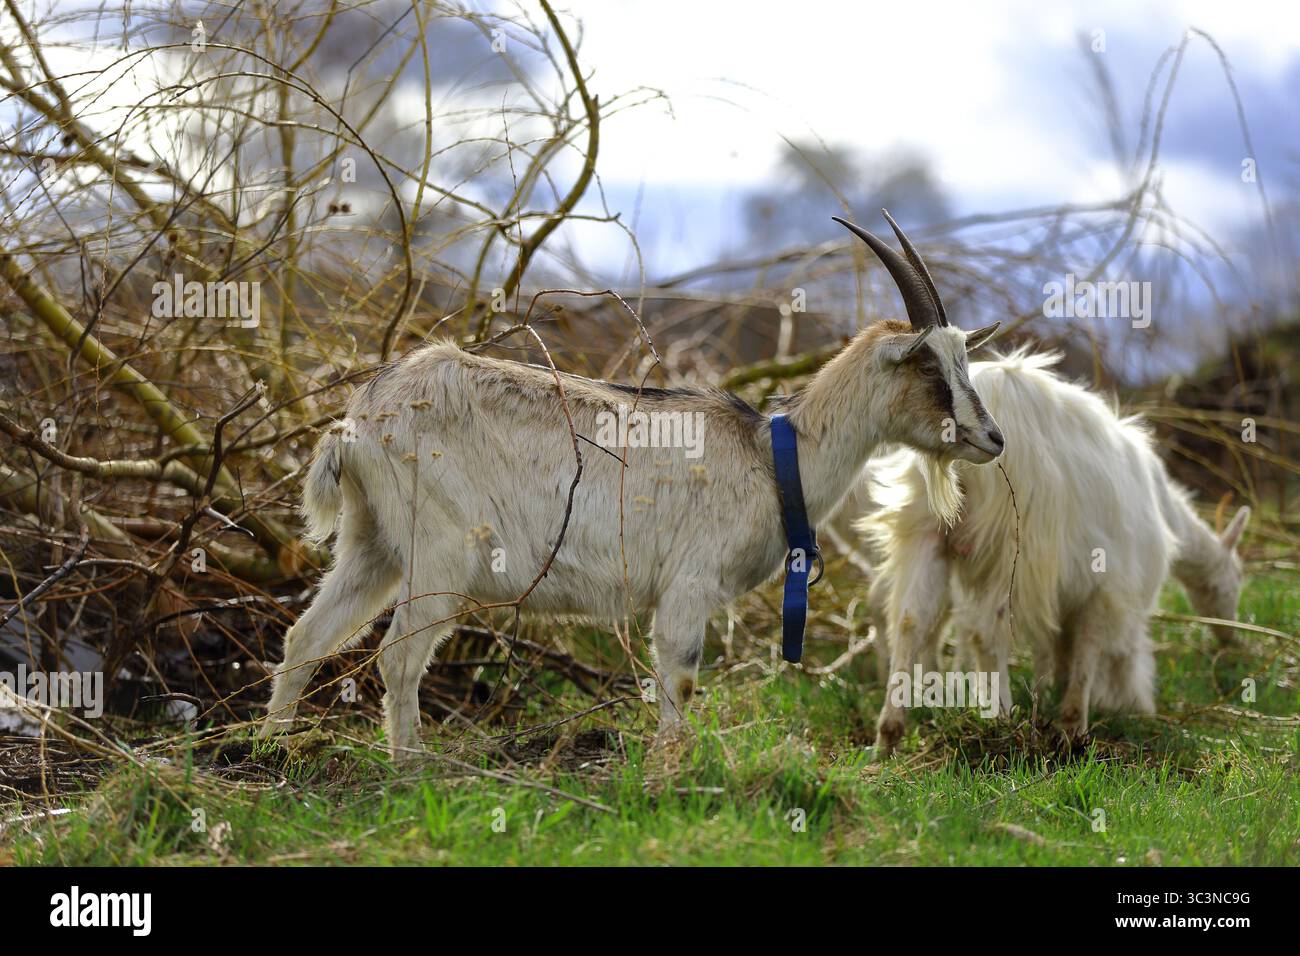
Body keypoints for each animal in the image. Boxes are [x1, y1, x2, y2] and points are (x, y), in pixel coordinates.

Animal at [260, 212, 1005, 759]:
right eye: (931, 369)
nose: (992, 439)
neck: (771, 458)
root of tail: (357, 421)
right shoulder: (688, 586)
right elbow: (679, 681)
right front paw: (672, 774)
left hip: (372, 543)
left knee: (306, 636)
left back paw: (272, 751)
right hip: (441, 552)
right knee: (398, 656)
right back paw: (412, 769)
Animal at [858, 349, 1249, 756]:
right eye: (1236, 579)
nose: (1231, 639)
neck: (1165, 509)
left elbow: (1064, 649)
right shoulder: (1109, 586)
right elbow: (1089, 651)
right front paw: (1076, 725)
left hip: (925, 530)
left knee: (910, 621)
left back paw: (888, 736)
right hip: (1015, 545)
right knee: (987, 630)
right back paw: (1000, 719)